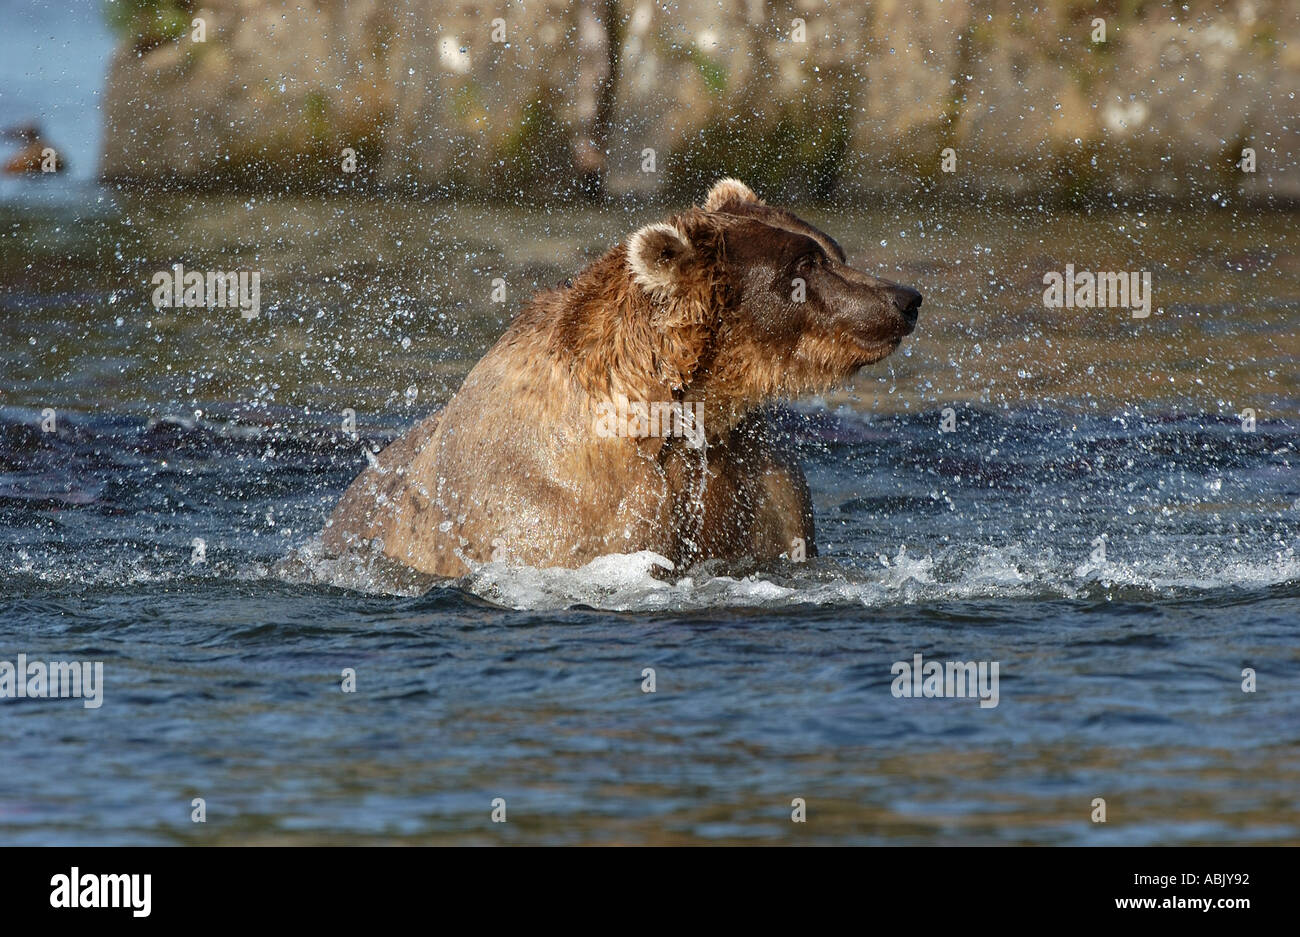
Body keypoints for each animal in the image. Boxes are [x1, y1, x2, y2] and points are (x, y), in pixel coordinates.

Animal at [321, 178, 921, 578]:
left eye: (832, 250)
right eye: (804, 266)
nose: (904, 298)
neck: (681, 412)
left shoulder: (757, 486)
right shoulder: (561, 508)